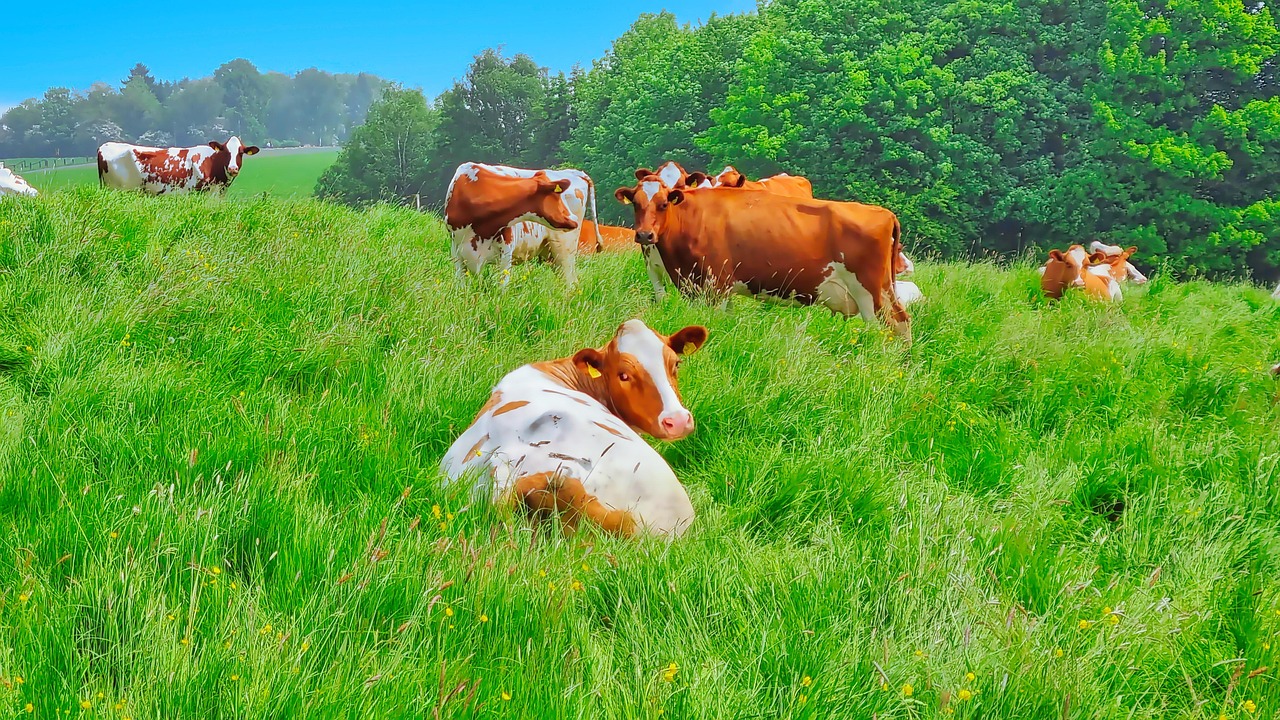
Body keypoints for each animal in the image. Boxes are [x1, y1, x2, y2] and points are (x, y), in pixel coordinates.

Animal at [445, 162, 600, 286]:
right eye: (557, 196)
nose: (573, 218)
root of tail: (575, 172)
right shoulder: (456, 250)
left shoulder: (506, 250)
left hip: (564, 250)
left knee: (571, 283)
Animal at [615, 175, 911, 342]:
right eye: (636, 204)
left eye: (663, 203)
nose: (644, 234)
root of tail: (884, 213)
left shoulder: (715, 286)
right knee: (902, 323)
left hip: (870, 291)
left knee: (891, 326)